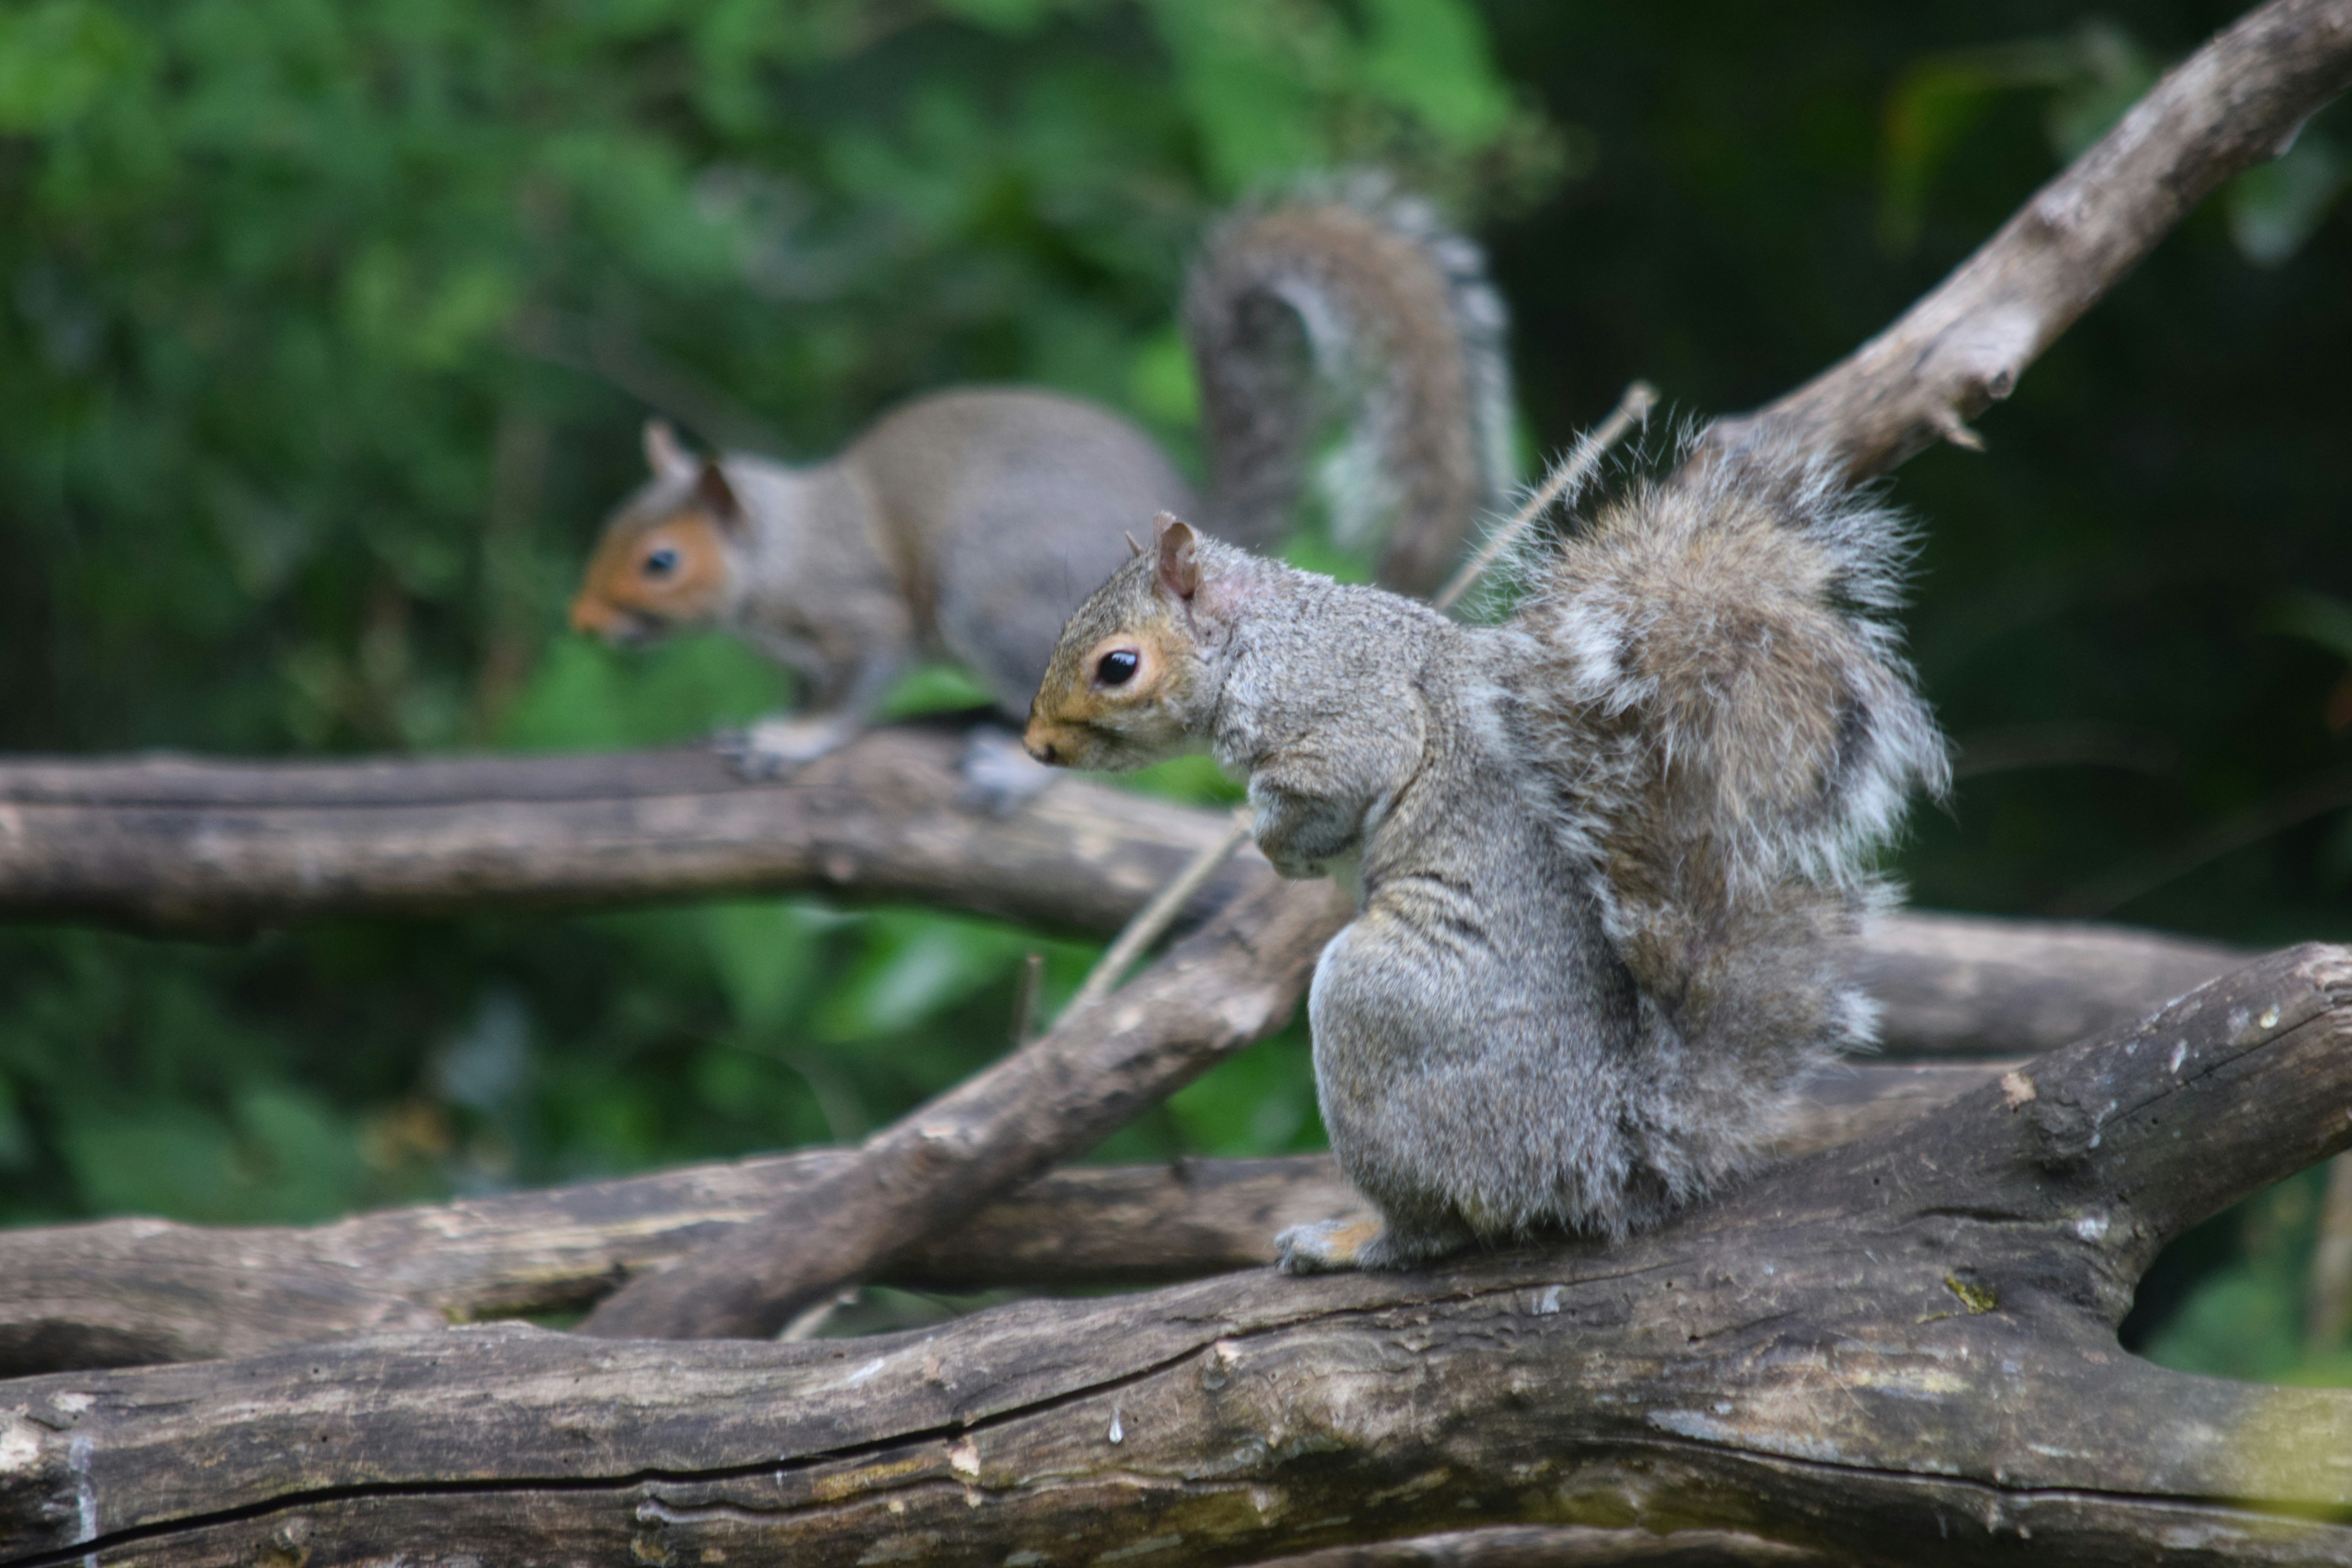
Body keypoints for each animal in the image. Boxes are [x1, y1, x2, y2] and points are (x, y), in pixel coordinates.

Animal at [568, 187, 1514, 780]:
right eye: (610, 527)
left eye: (661, 561)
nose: (583, 623)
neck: (778, 547)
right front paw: (770, 723)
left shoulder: (859, 612)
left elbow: (851, 691)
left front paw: (797, 740)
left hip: (992, 592)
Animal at [1022, 449, 1949, 1270]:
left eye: (1119, 665)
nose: (1035, 746)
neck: (1260, 635)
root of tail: (1603, 1147)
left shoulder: (1340, 716)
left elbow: (1331, 787)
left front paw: (1279, 847)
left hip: (1378, 1010)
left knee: (1438, 1227)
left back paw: (1353, 1240)